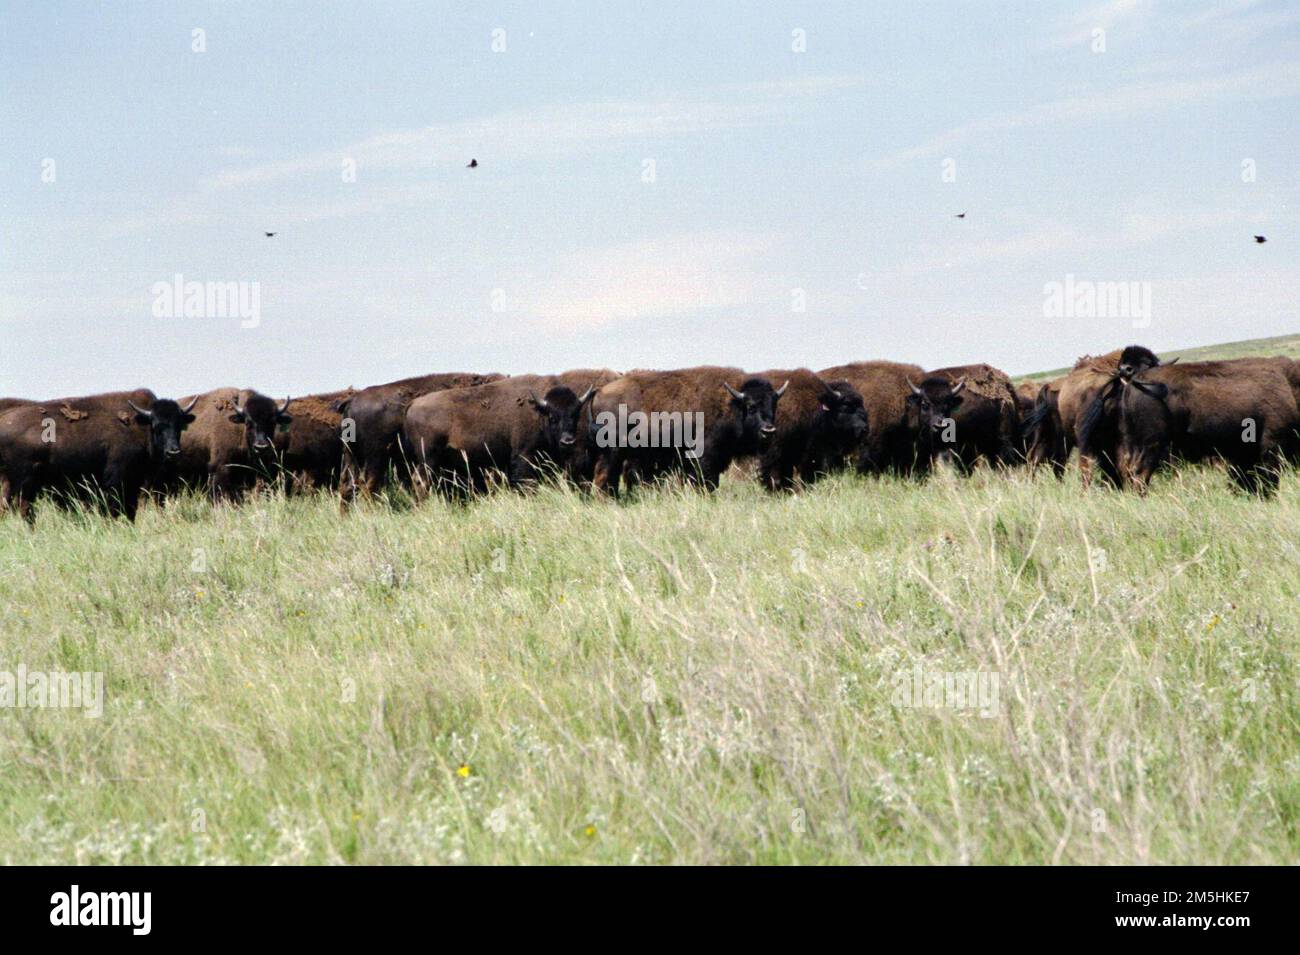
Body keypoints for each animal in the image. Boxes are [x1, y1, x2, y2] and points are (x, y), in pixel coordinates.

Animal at [0, 390, 196, 523]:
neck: (141, 424)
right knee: (25, 509)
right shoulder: (115, 482)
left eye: (179, 425)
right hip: (25, 483)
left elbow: (130, 511)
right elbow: (114, 510)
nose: (173, 451)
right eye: (157, 426)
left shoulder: (133, 485)